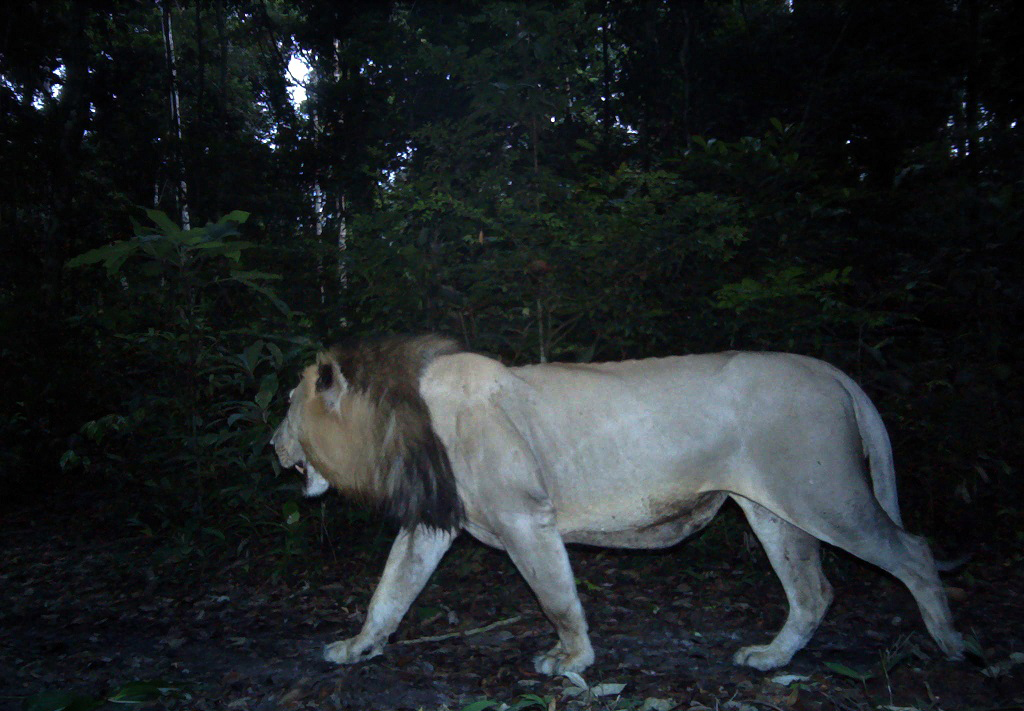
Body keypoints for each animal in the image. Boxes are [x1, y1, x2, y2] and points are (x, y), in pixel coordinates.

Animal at [271, 335, 964, 675]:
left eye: (287, 402)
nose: (269, 442)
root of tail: (833, 371)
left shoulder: (525, 517)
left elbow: (555, 595)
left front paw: (570, 661)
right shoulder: (430, 525)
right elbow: (391, 590)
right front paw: (357, 648)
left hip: (826, 494)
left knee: (914, 553)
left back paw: (953, 645)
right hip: (774, 509)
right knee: (813, 590)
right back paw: (770, 658)